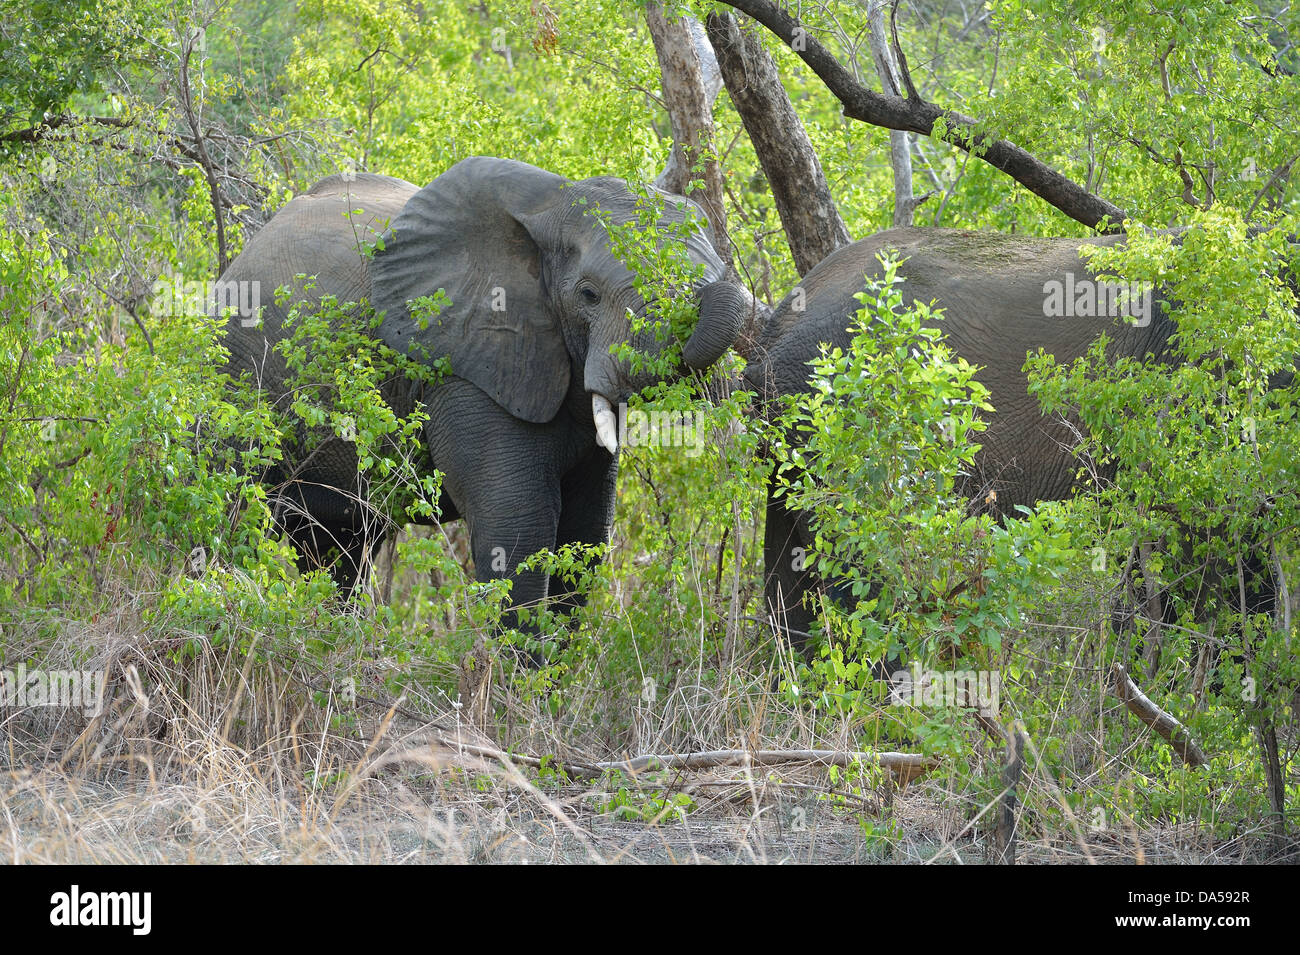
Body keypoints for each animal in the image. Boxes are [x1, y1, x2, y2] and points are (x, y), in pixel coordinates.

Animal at [216, 156, 749, 623]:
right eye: (589, 295)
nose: (726, 285)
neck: (552, 206)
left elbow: (588, 527)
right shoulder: (464, 364)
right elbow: (517, 524)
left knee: (338, 542)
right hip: (236, 372)